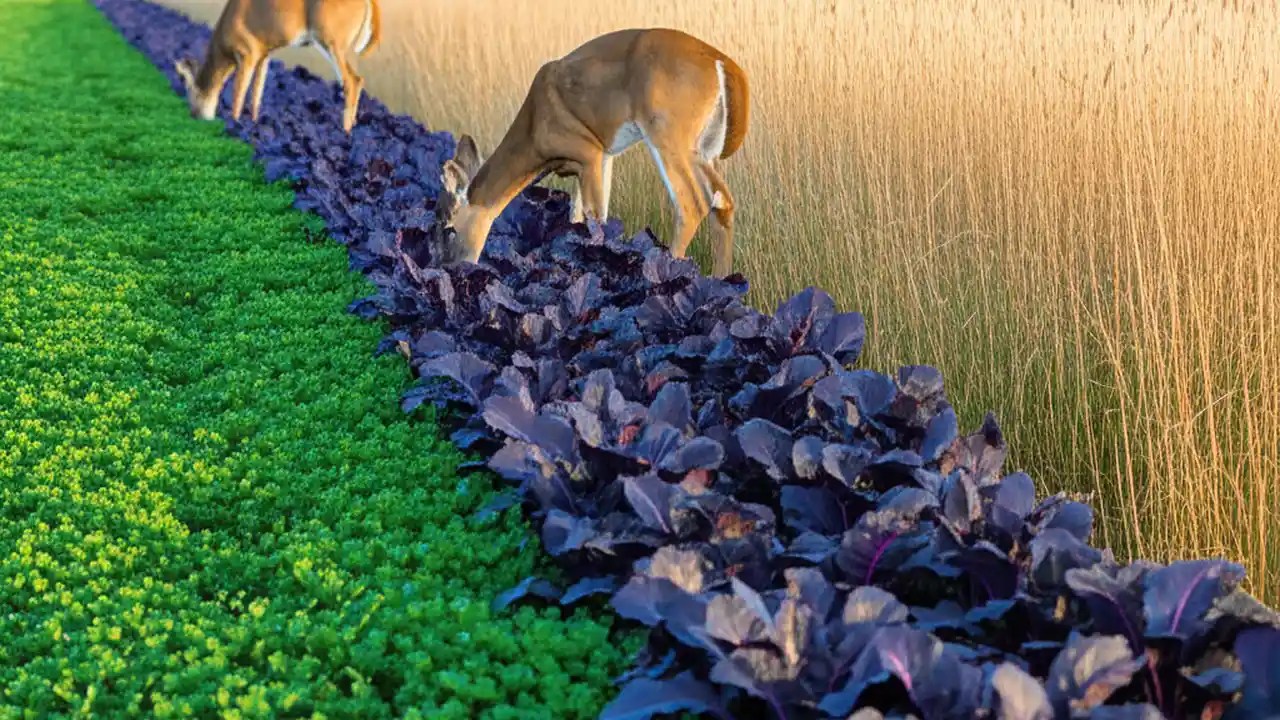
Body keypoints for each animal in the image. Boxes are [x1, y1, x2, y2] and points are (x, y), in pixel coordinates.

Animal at [173, 0, 381, 133]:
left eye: (190, 92)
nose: (195, 116)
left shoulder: (247, 53)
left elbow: (239, 93)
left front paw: (235, 124)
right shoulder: (263, 55)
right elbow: (257, 93)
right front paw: (254, 123)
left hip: (331, 41)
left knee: (353, 80)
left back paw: (346, 132)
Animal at [437, 28, 750, 277]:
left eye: (448, 227)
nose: (448, 268)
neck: (535, 130)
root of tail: (722, 64)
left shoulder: (587, 151)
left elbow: (595, 217)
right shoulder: (602, 155)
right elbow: (578, 215)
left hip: (667, 132)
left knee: (692, 203)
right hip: (704, 149)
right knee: (723, 201)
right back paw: (722, 282)